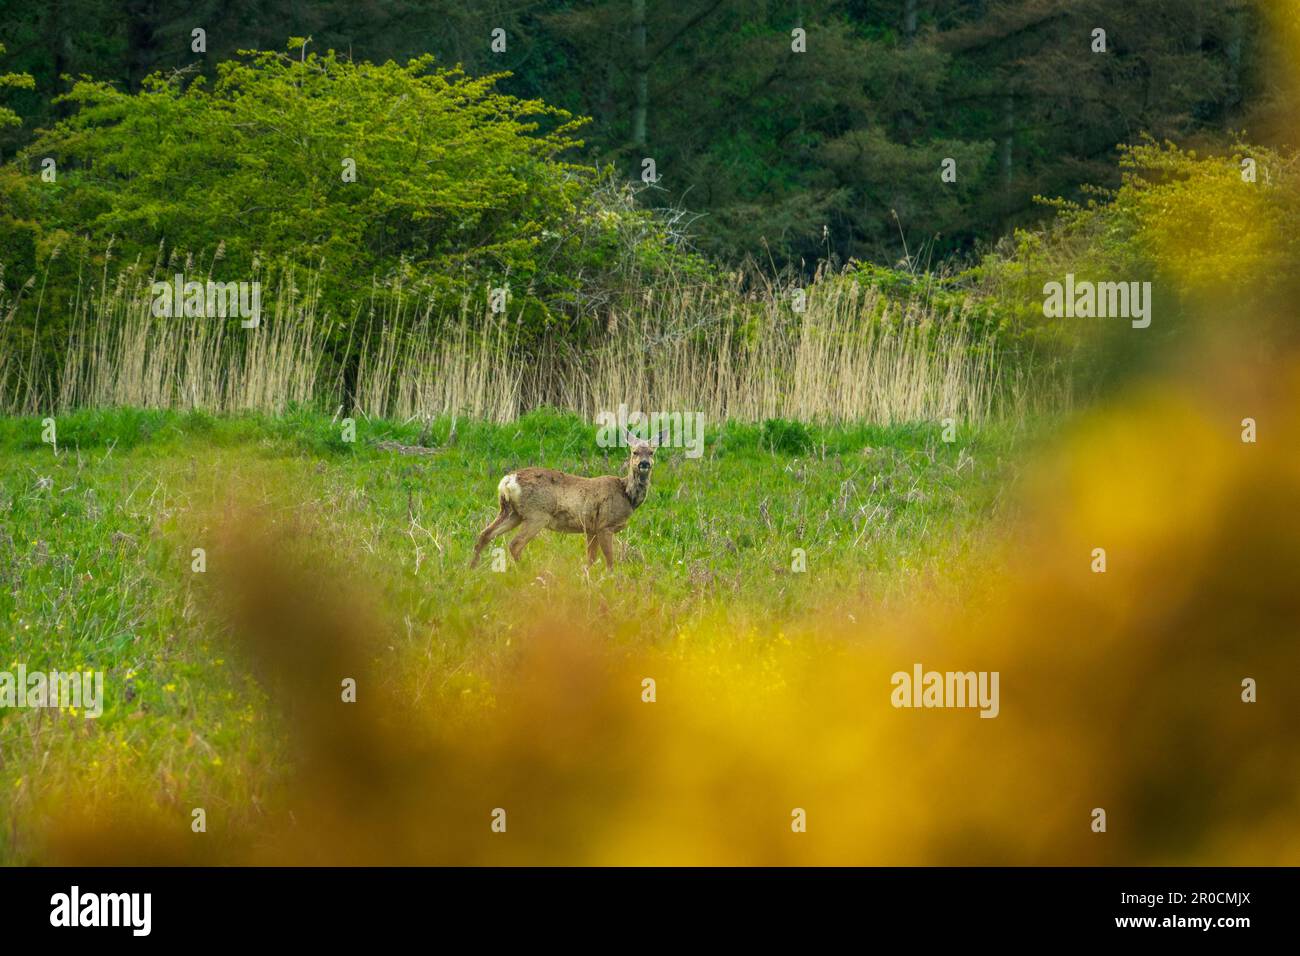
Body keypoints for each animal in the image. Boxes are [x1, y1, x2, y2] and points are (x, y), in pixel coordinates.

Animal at [471, 429, 664, 570]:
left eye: (651, 452)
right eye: (634, 452)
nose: (644, 463)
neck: (627, 495)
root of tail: (508, 481)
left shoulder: (591, 528)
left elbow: (590, 559)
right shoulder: (605, 525)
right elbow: (609, 560)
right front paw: (612, 581)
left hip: (511, 511)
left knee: (485, 534)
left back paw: (473, 568)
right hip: (537, 514)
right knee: (514, 543)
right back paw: (526, 570)